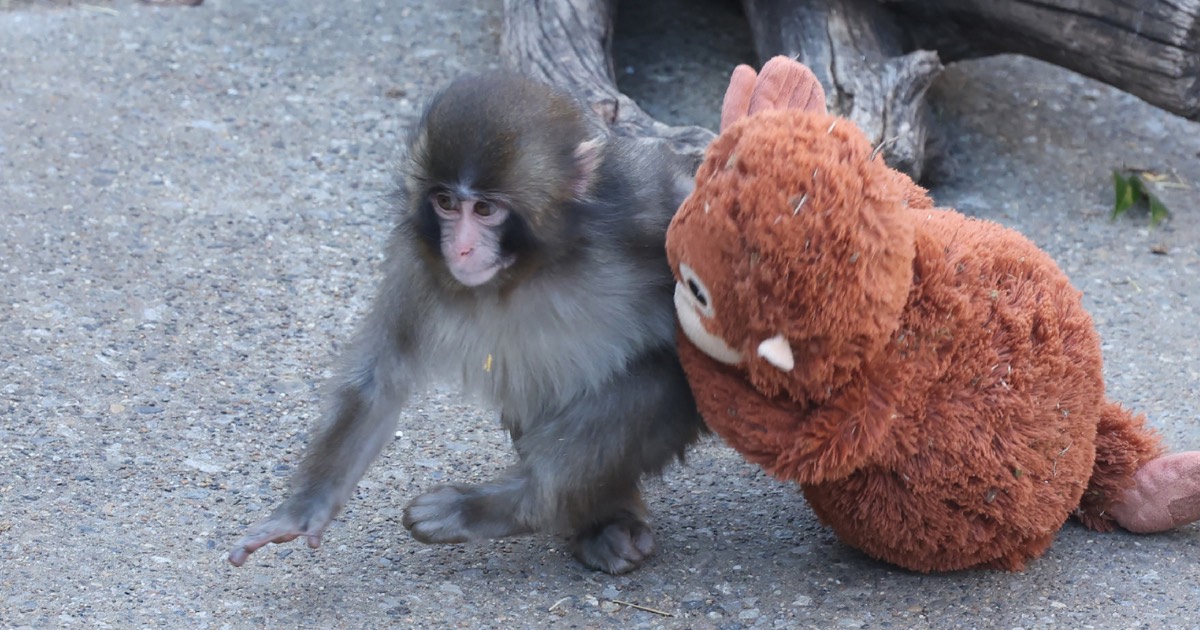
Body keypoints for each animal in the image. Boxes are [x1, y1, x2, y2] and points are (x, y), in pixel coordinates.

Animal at [226, 70, 707, 575]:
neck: (536, 266)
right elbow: (380, 379)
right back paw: (602, 522)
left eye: (484, 209)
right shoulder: (418, 261)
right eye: (444, 203)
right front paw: (302, 511)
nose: (459, 248)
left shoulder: (647, 207)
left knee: (655, 380)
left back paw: (509, 505)